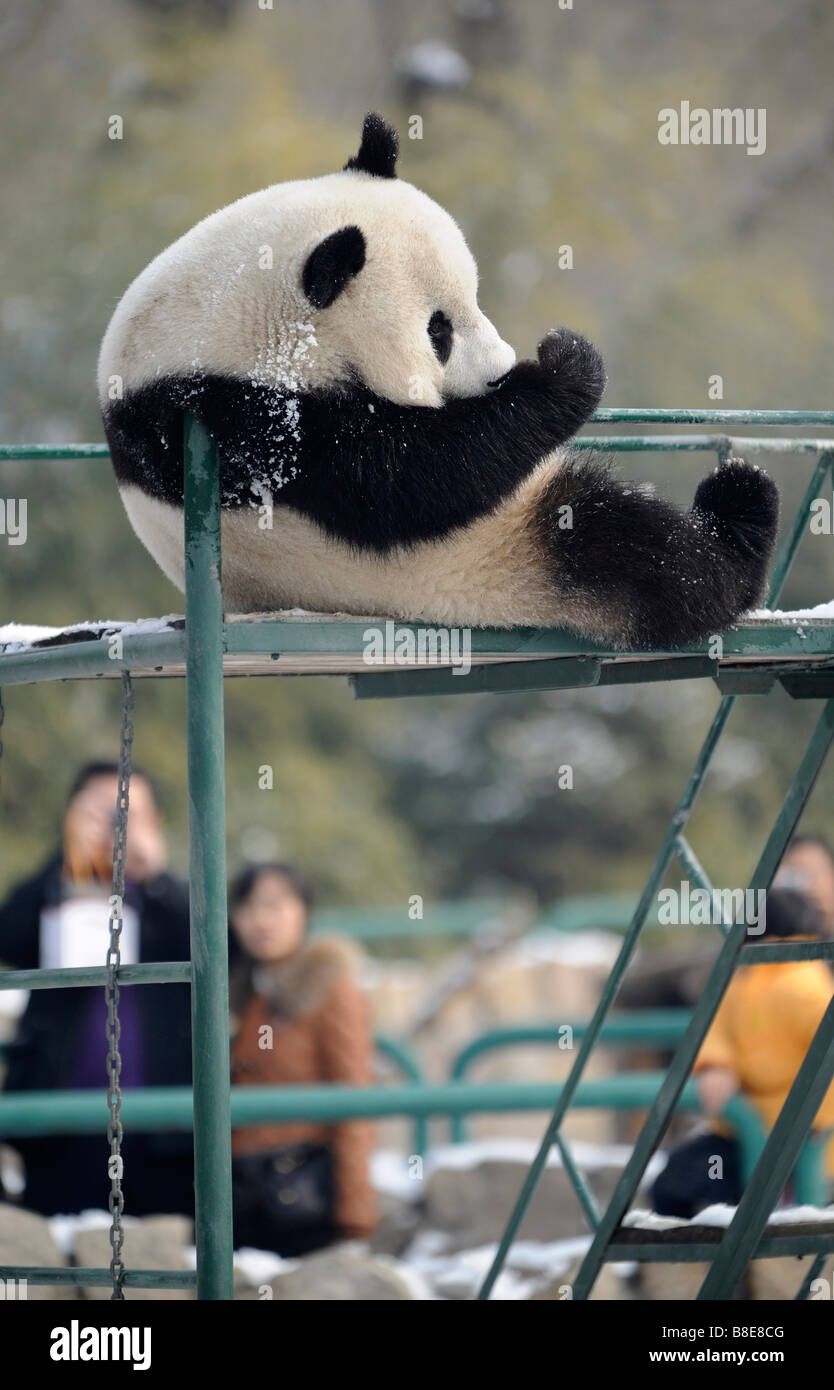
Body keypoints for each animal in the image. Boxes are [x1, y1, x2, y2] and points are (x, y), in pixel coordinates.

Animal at [98, 113, 778, 649]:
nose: (501, 372)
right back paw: (741, 508)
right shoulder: (240, 418)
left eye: (473, 296)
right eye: (439, 332)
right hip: (494, 555)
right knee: (631, 551)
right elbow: (410, 480)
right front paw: (565, 369)